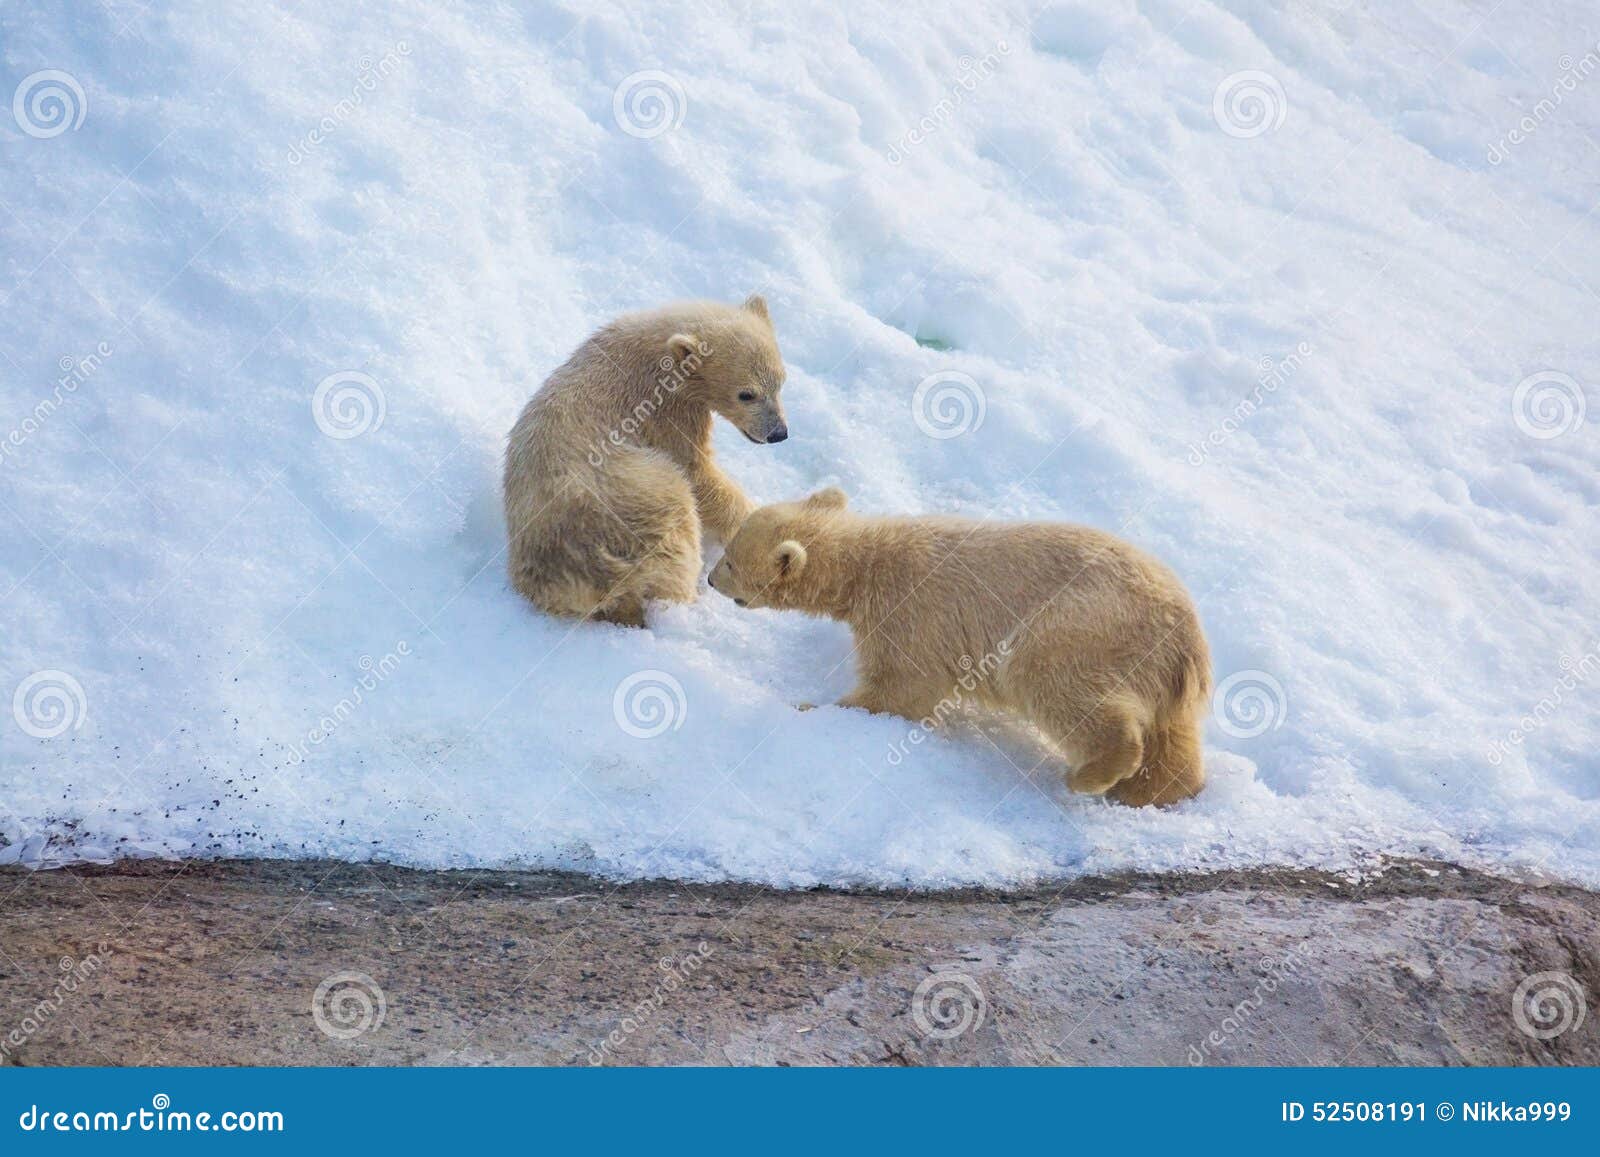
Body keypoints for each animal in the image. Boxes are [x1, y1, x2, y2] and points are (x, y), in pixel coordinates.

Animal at [504, 295, 788, 627]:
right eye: (746, 394)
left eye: (781, 382)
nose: (778, 433)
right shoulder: (663, 409)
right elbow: (697, 472)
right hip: (644, 503)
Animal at [707, 488, 1211, 807]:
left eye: (729, 559)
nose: (710, 579)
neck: (864, 568)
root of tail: (1186, 635)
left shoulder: (910, 615)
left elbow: (904, 689)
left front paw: (811, 708)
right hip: (1160, 673)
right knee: (1172, 737)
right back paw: (1154, 792)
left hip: (1085, 627)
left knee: (1051, 680)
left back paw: (1088, 774)